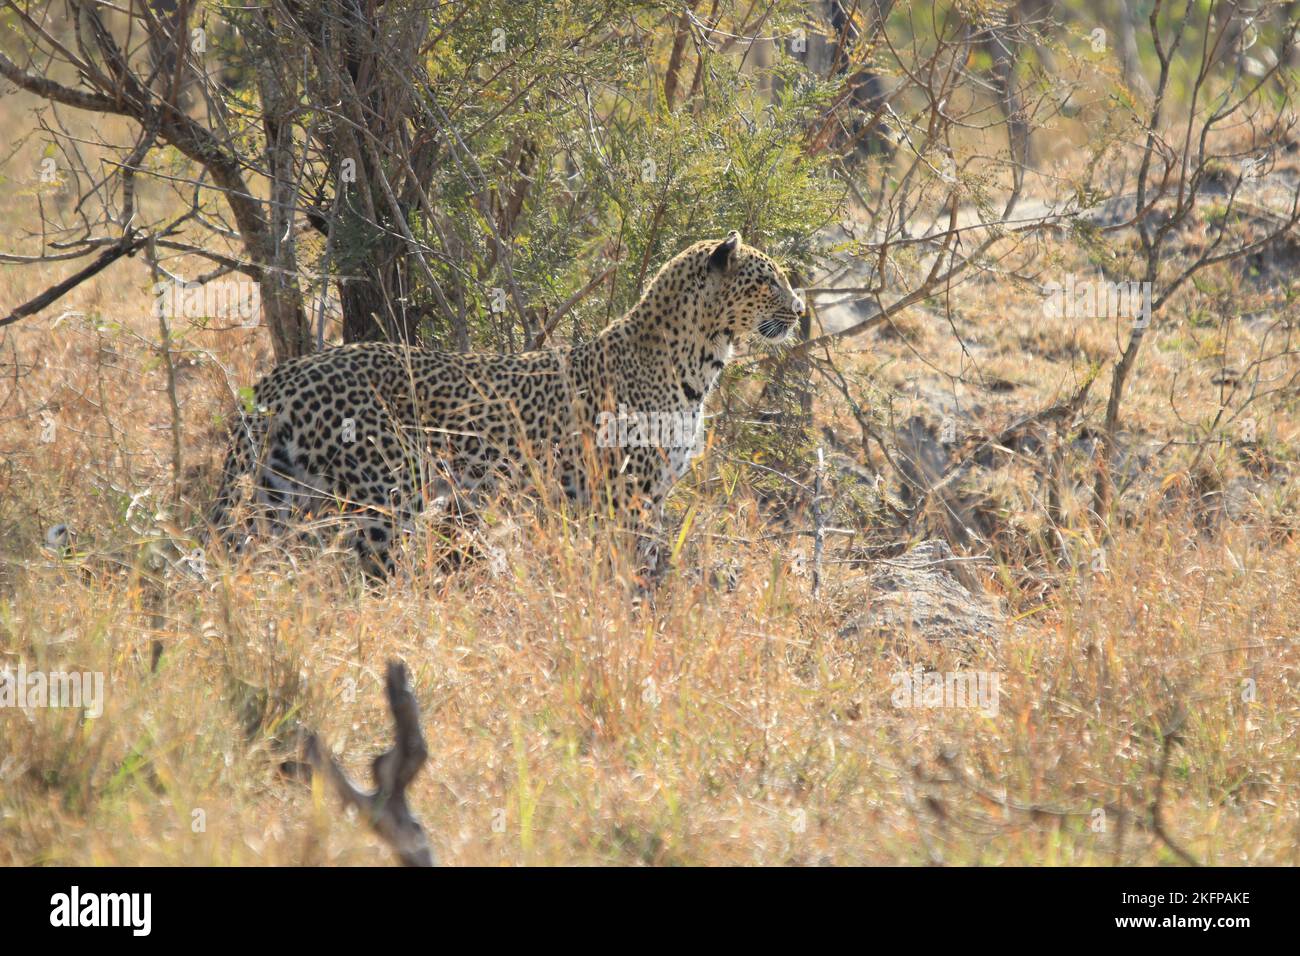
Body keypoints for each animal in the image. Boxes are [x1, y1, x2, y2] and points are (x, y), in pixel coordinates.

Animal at [208, 231, 805, 575]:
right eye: (769, 280)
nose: (800, 309)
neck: (701, 361)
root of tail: (285, 373)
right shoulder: (628, 496)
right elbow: (635, 567)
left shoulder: (641, 498)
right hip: (385, 494)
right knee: (369, 576)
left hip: (282, 492)